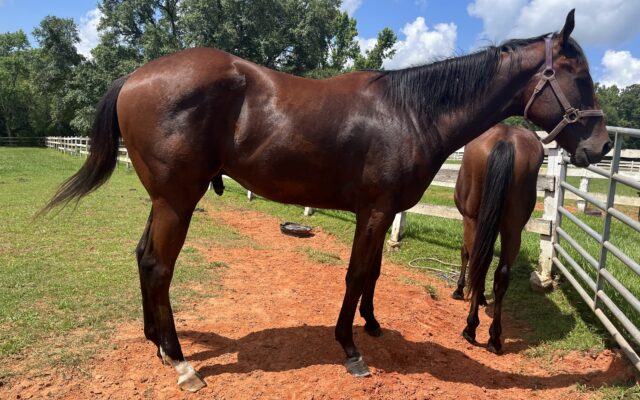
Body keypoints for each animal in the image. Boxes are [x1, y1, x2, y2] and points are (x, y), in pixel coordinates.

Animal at [450, 123, 544, 354]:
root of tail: (506, 138)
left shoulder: (468, 219)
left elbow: (467, 254)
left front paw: (460, 289)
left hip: (474, 219)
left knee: (479, 261)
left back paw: (470, 328)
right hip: (513, 228)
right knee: (500, 275)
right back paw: (494, 338)